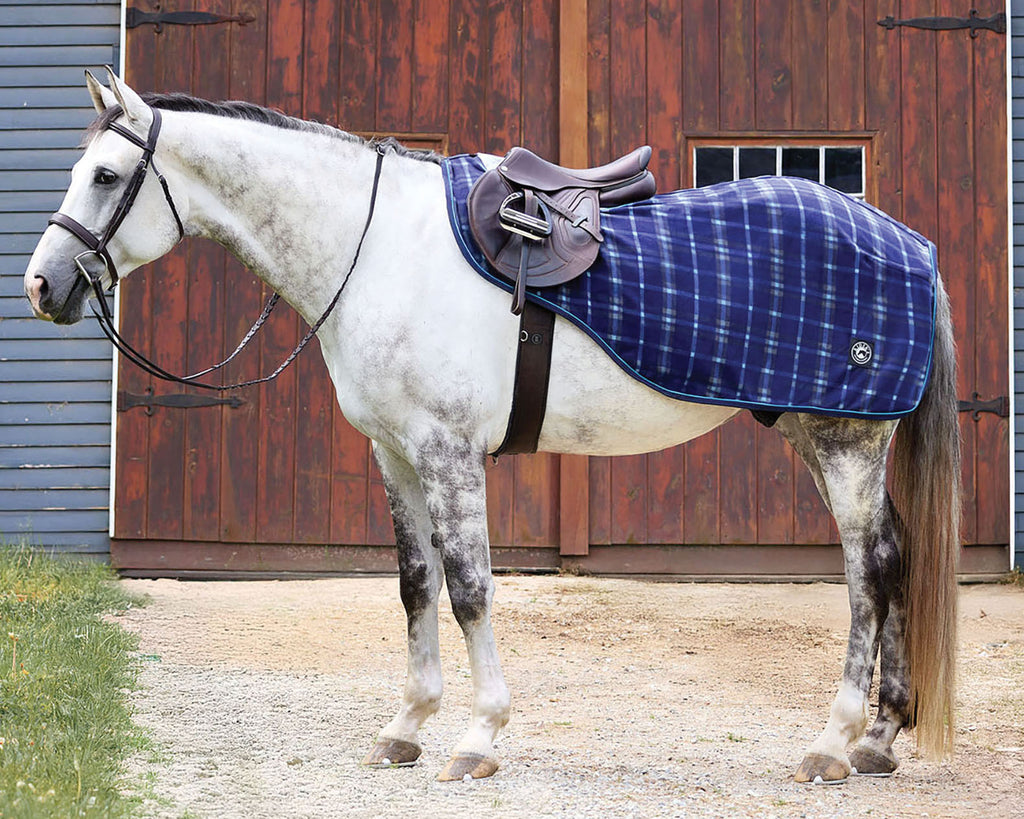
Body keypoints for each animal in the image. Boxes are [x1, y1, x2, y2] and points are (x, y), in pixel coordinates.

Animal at [24, 70, 959, 784]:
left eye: (104, 175)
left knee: (869, 573)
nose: (42, 285)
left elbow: (471, 586)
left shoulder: (448, 452)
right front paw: (407, 725)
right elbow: (416, 586)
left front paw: (478, 736)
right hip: (821, 437)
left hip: (845, 442)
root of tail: (906, 241)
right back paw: (879, 740)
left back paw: (833, 742)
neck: (375, 248)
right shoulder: (395, 455)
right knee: (894, 554)